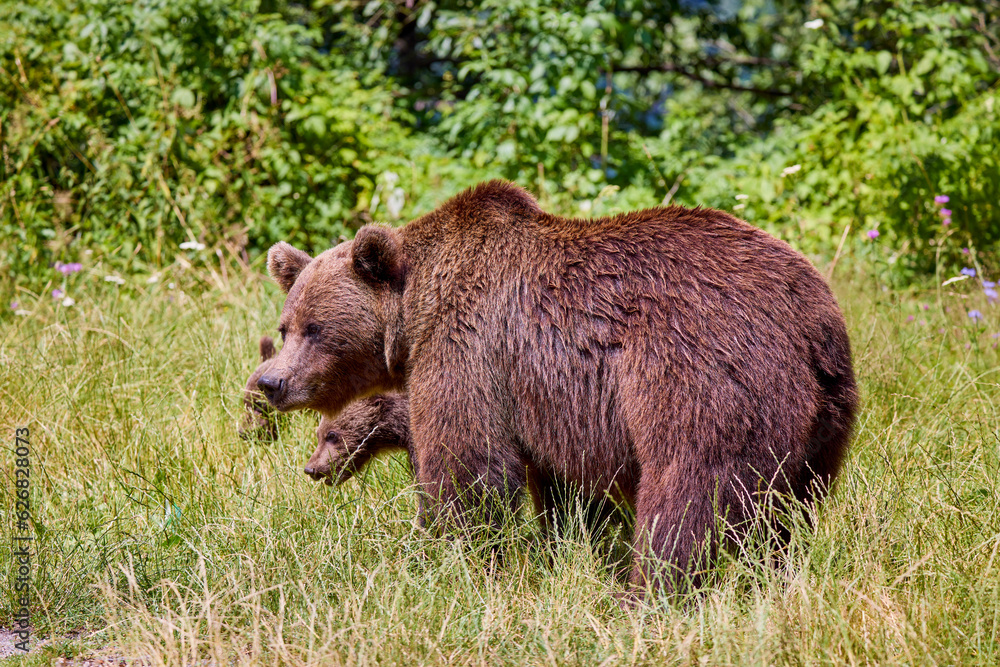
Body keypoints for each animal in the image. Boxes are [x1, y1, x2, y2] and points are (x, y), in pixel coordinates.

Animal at [258, 180, 858, 595]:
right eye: (286, 325)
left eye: (315, 328)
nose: (270, 382)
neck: (413, 315)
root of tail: (810, 315)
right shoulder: (556, 405)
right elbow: (565, 491)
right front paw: (567, 550)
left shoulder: (470, 352)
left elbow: (467, 464)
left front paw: (448, 556)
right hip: (824, 416)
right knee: (789, 508)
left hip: (701, 374)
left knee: (690, 491)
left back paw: (648, 594)